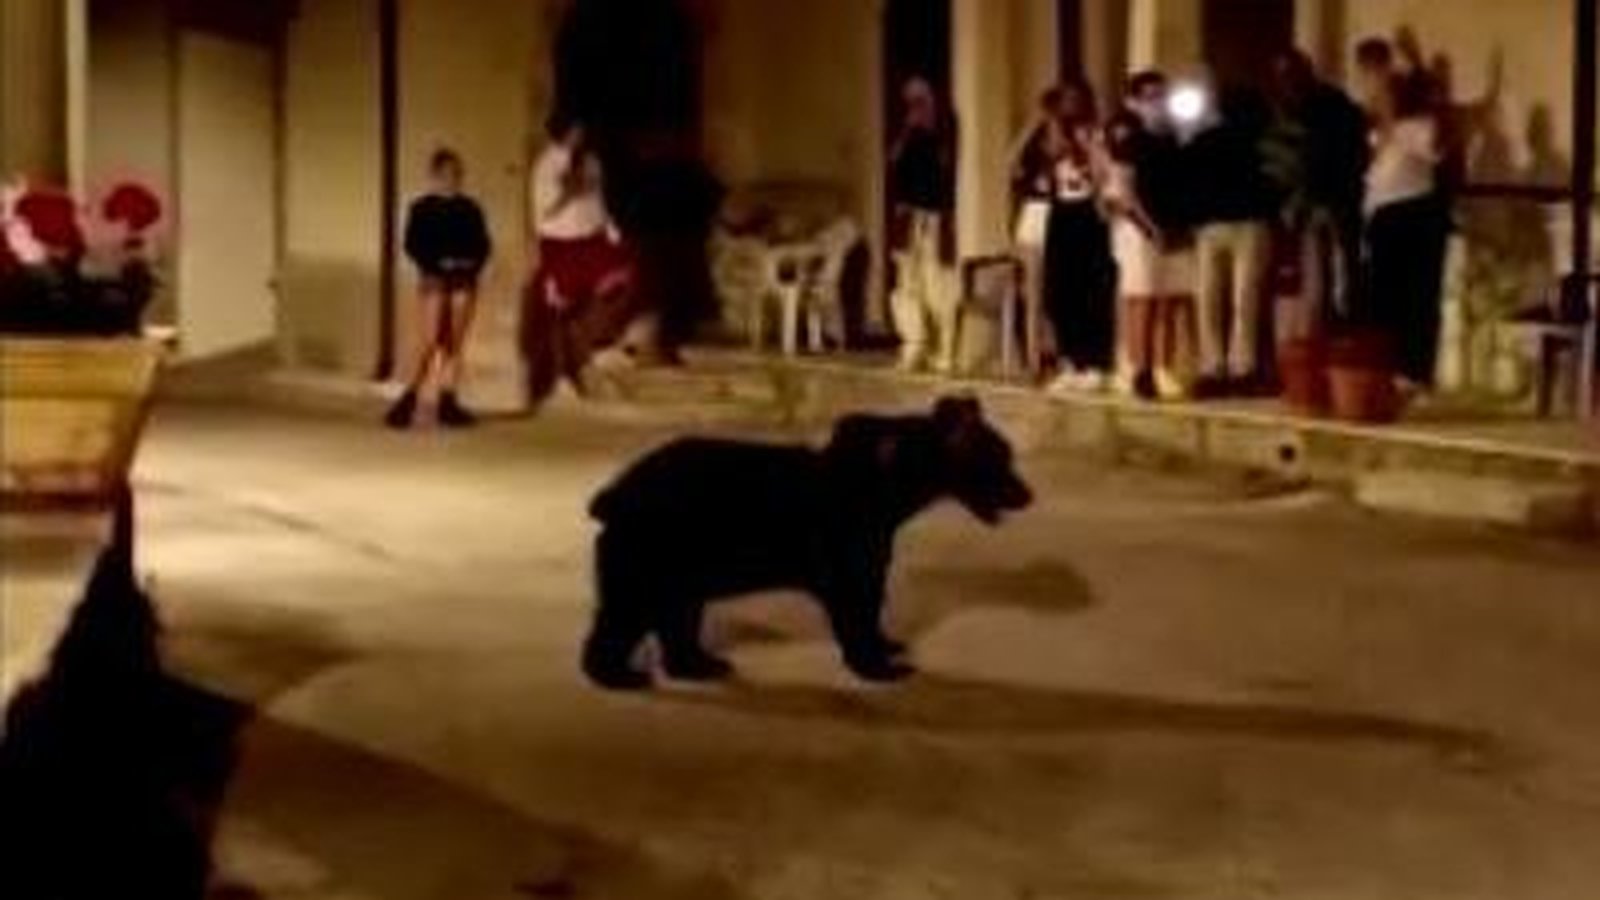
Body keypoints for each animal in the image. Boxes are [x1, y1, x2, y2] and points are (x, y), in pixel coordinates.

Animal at [582, 395, 1033, 690]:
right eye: (1000, 460)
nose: (1028, 495)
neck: (893, 488)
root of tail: (612, 496)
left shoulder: (874, 543)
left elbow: (871, 598)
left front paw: (889, 645)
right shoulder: (845, 540)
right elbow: (852, 603)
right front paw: (880, 667)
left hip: (682, 564)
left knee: (679, 614)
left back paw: (701, 664)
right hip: (651, 550)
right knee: (625, 612)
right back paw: (619, 675)